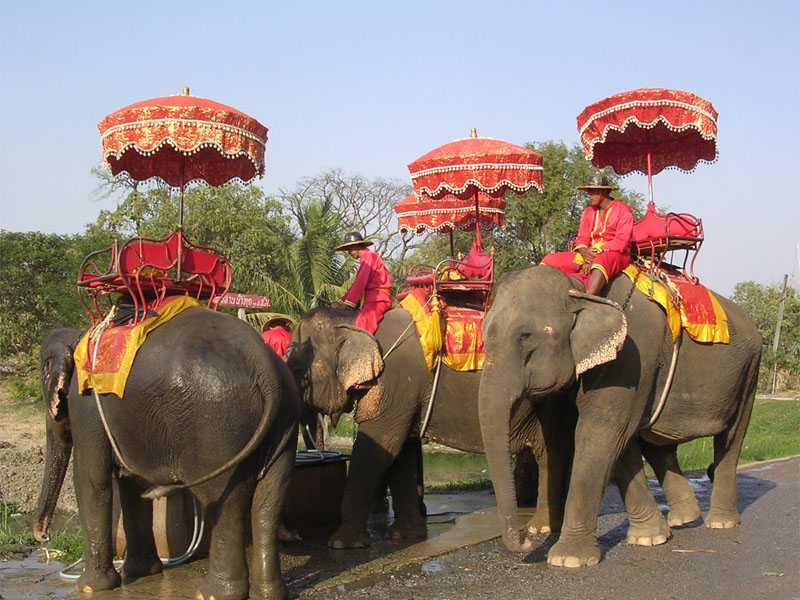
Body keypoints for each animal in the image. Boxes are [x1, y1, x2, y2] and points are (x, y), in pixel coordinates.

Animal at [30, 310, 300, 600]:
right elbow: (132, 483)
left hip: (216, 427)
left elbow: (91, 479)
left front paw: (88, 587)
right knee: (269, 499)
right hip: (284, 422)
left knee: (223, 499)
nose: (43, 536)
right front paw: (141, 572)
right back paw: (269, 593)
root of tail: (266, 369)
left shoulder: (85, 404)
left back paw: (211, 593)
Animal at [288, 304, 576, 548]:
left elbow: (380, 447)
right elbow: (401, 451)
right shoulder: (404, 395)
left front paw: (341, 544)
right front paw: (404, 537)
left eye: (300, 372)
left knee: (551, 451)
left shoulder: (394, 382)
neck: (355, 319)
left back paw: (544, 527)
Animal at [478, 266, 760, 568]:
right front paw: (649, 538)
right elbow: (615, 441)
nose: (527, 538)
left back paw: (720, 523)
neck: (580, 289)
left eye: (525, 336)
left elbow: (601, 432)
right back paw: (684, 519)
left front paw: (569, 559)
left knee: (731, 438)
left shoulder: (631, 357)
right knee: (656, 442)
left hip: (749, 371)